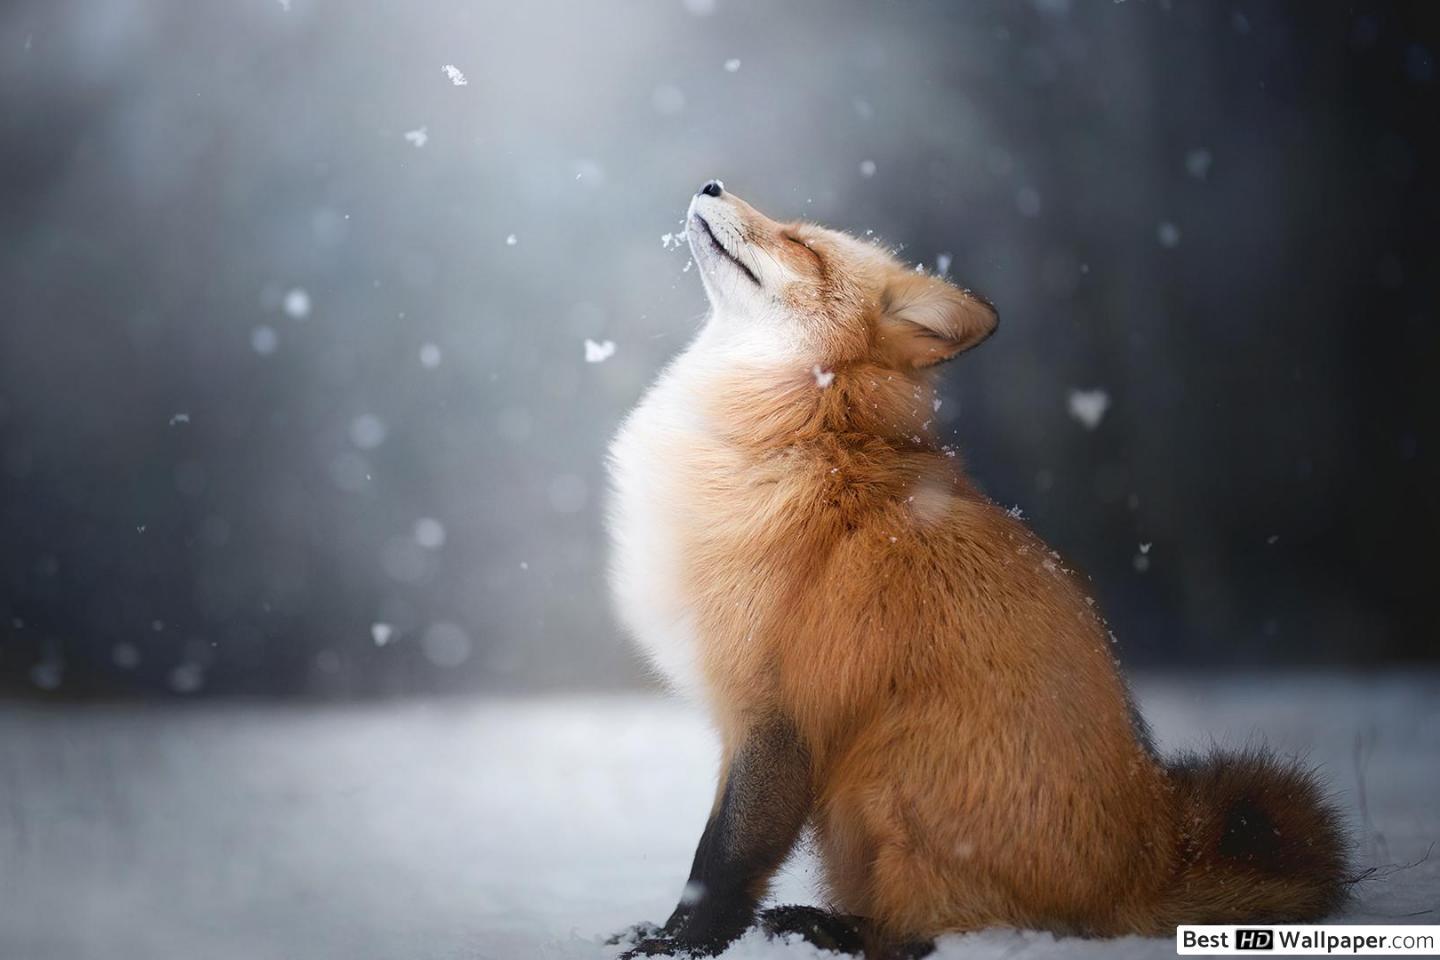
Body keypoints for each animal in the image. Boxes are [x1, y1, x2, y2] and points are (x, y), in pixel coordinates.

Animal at [604, 180, 1348, 959]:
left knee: (919, 935)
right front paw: (662, 934)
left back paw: (827, 927)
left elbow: (721, 861)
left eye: (801, 243)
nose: (712, 185)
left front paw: (677, 946)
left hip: (884, 773)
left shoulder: (776, 713)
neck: (807, 430)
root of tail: (1150, 862)